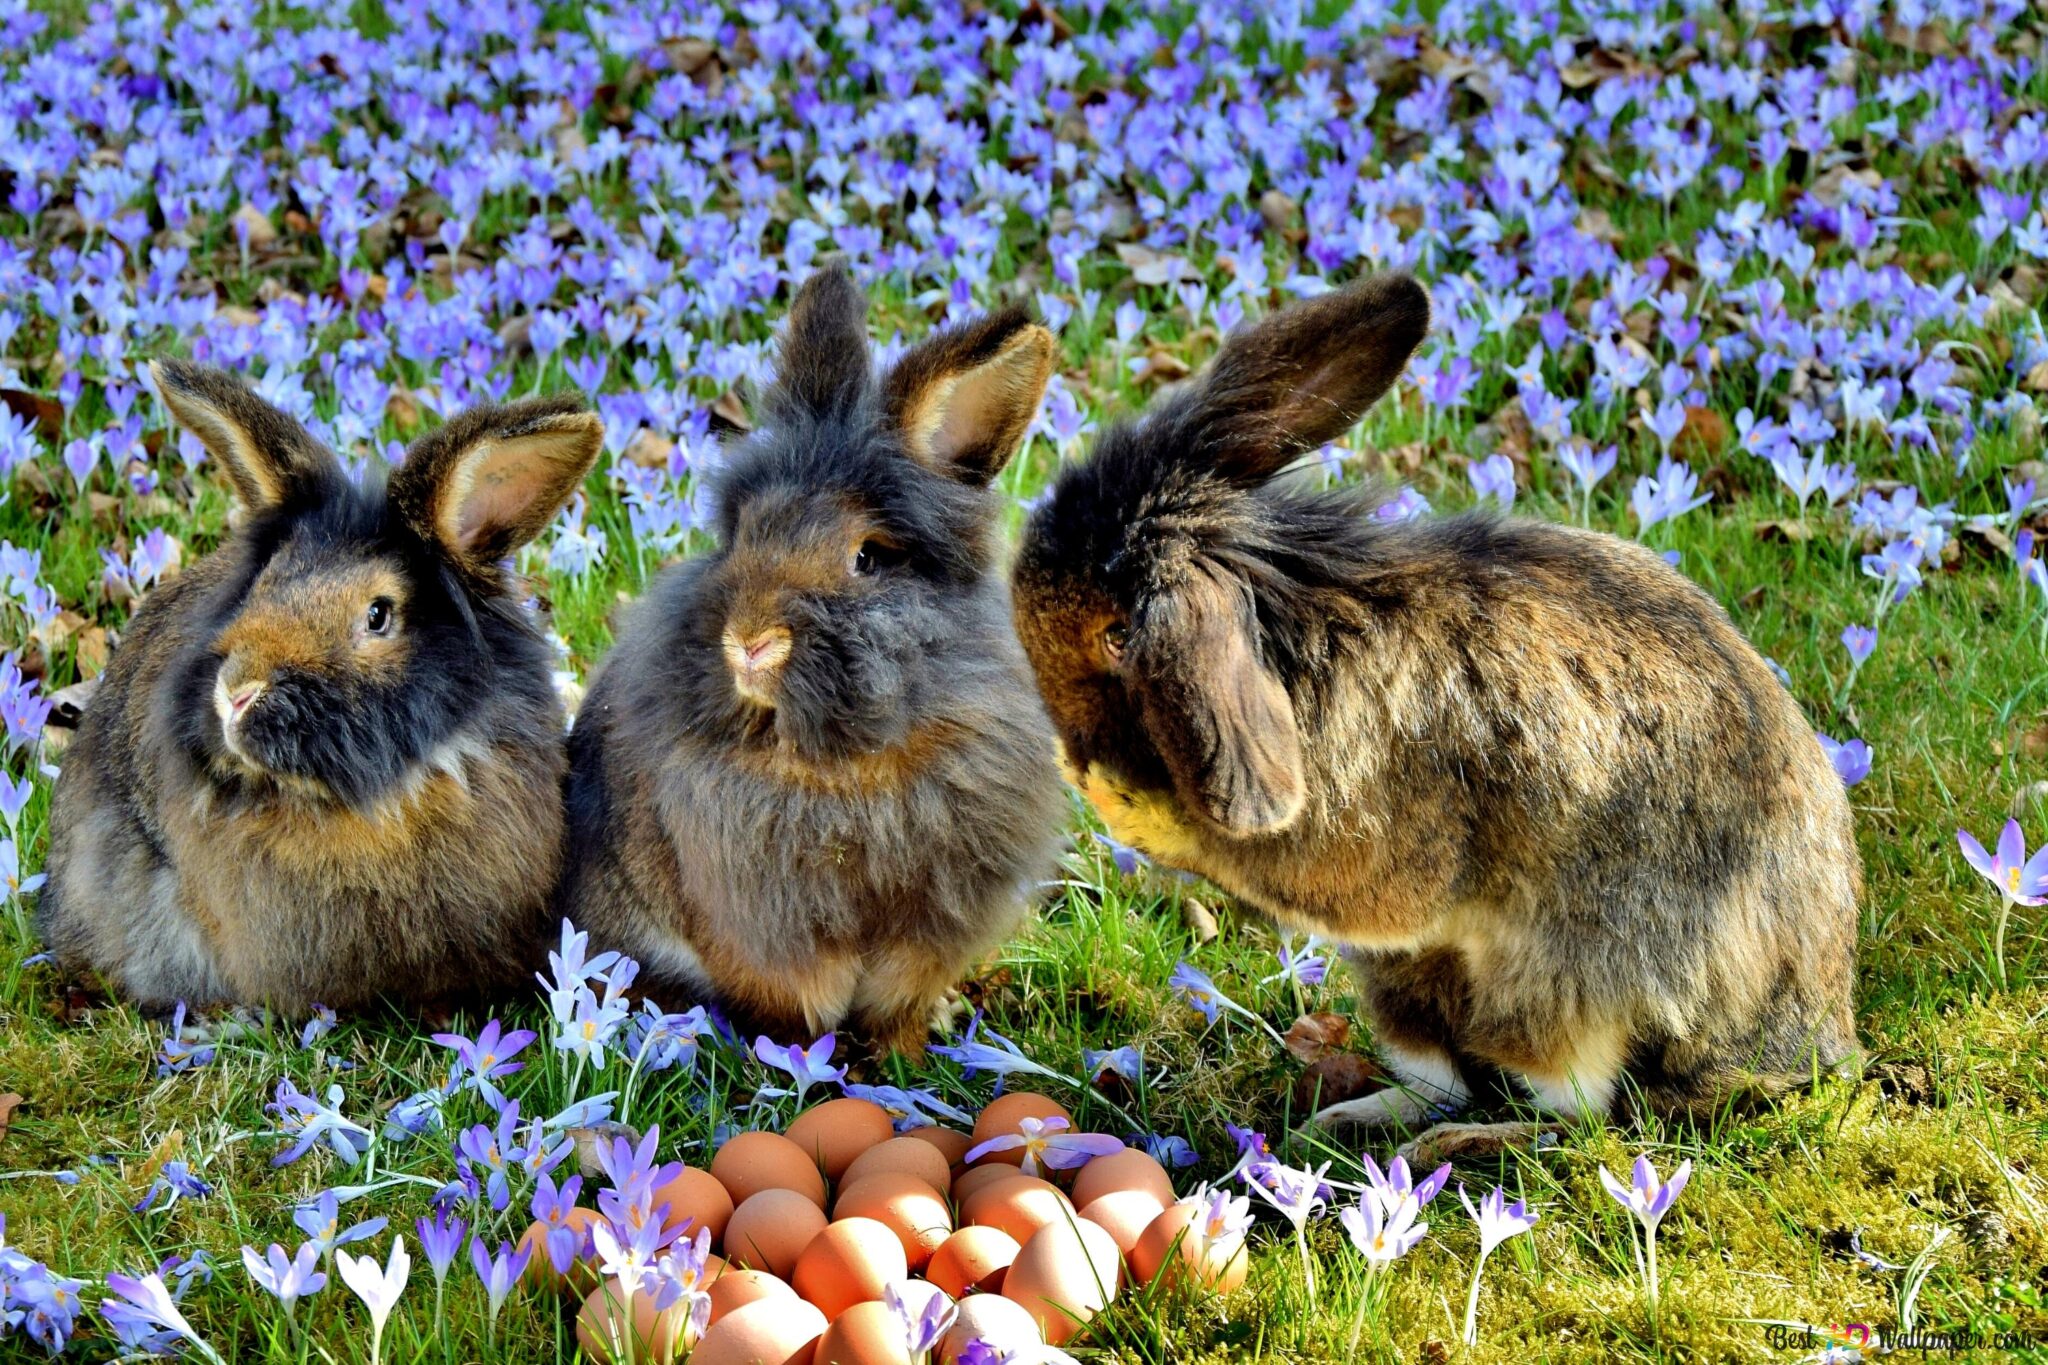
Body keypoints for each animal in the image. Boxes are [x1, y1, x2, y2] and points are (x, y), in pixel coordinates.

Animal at [561, 267, 1066, 1057]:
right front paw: (803, 1058)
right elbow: (798, 998)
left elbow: (899, 1001)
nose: (750, 640)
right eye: (744, 532)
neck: (848, 758)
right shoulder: (760, 926)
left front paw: (903, 1054)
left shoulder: (930, 930)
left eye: (869, 558)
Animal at [1011, 273, 1861, 1155]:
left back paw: (1448, 1143)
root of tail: (1799, 1045)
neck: (1292, 630)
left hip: (1558, 990)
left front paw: (1128, 806)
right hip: (1407, 984)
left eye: (1117, 635)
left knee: (1571, 1113)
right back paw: (1351, 1119)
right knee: (1441, 1076)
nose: (1073, 754)